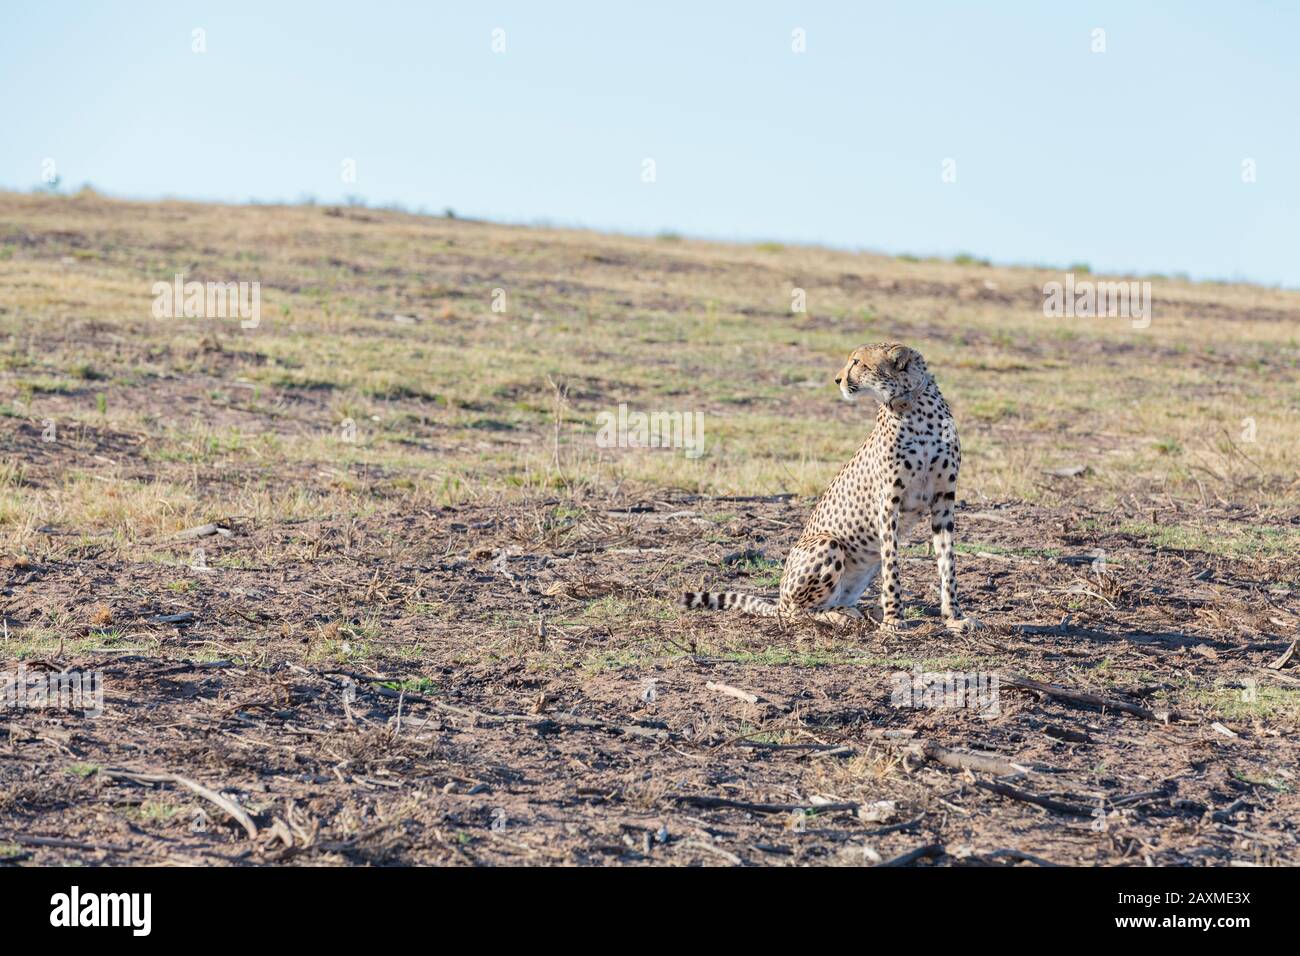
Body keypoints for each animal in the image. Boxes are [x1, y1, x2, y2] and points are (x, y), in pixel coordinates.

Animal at [681, 343, 975, 633]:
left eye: (857, 362)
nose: (837, 379)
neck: (913, 407)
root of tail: (779, 600)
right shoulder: (888, 502)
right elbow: (893, 566)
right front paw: (893, 618)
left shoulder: (944, 499)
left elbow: (947, 562)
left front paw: (954, 616)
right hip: (828, 543)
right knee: (797, 612)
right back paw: (842, 617)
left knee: (826, 603)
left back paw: (853, 611)